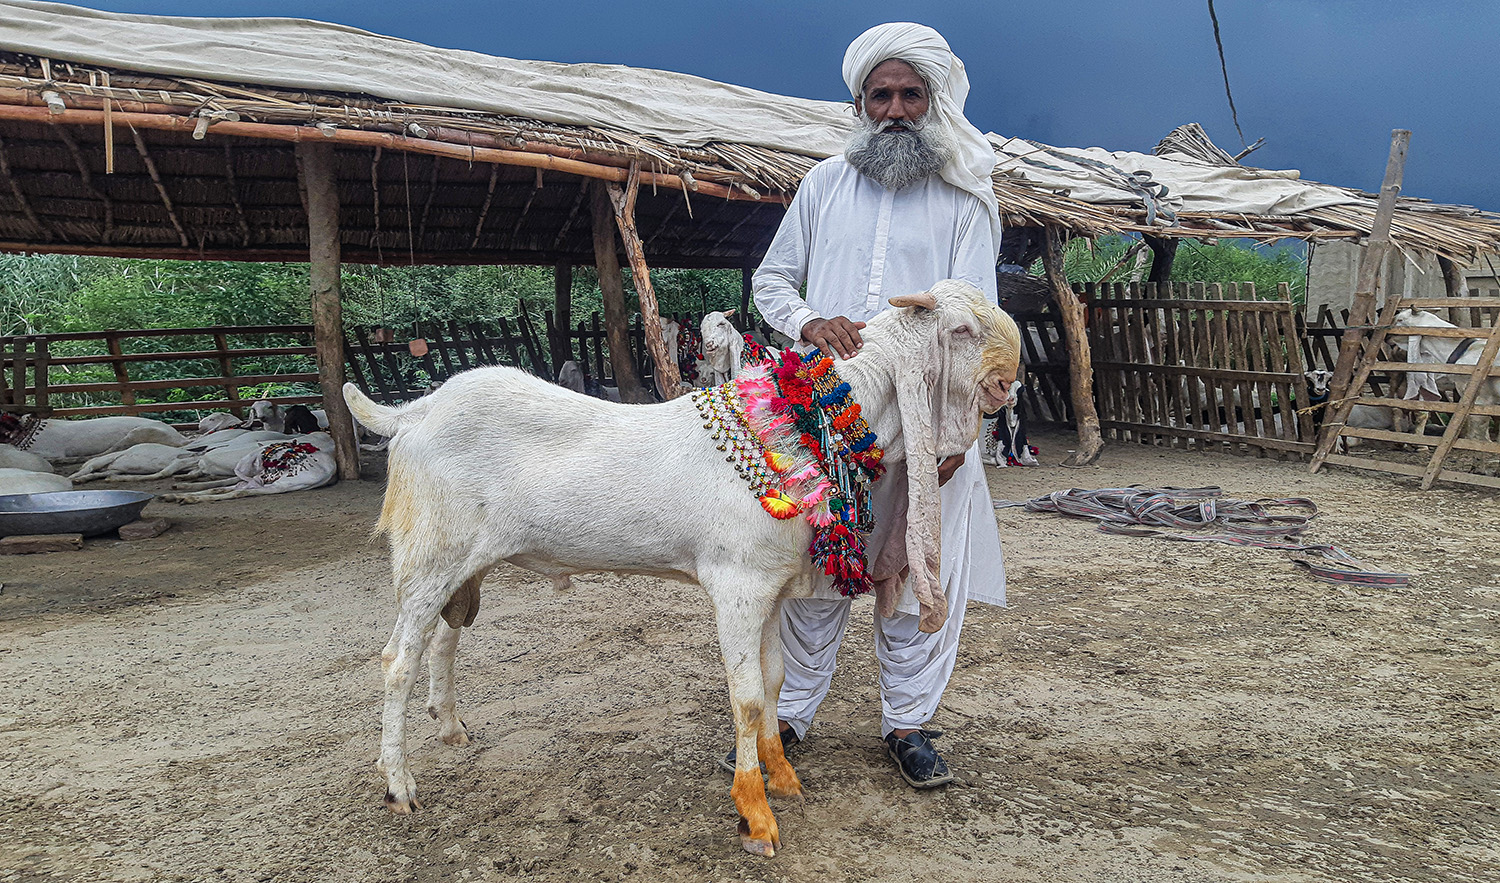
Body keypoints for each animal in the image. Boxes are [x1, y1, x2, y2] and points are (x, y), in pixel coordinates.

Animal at [342, 280, 1019, 856]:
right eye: (961, 329)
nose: (1007, 387)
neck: (803, 423)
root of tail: (414, 412)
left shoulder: (771, 586)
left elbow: (774, 681)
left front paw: (782, 777)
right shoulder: (737, 583)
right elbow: (746, 698)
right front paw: (756, 815)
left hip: (463, 561)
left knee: (446, 635)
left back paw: (451, 727)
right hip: (431, 552)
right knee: (398, 660)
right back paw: (399, 785)